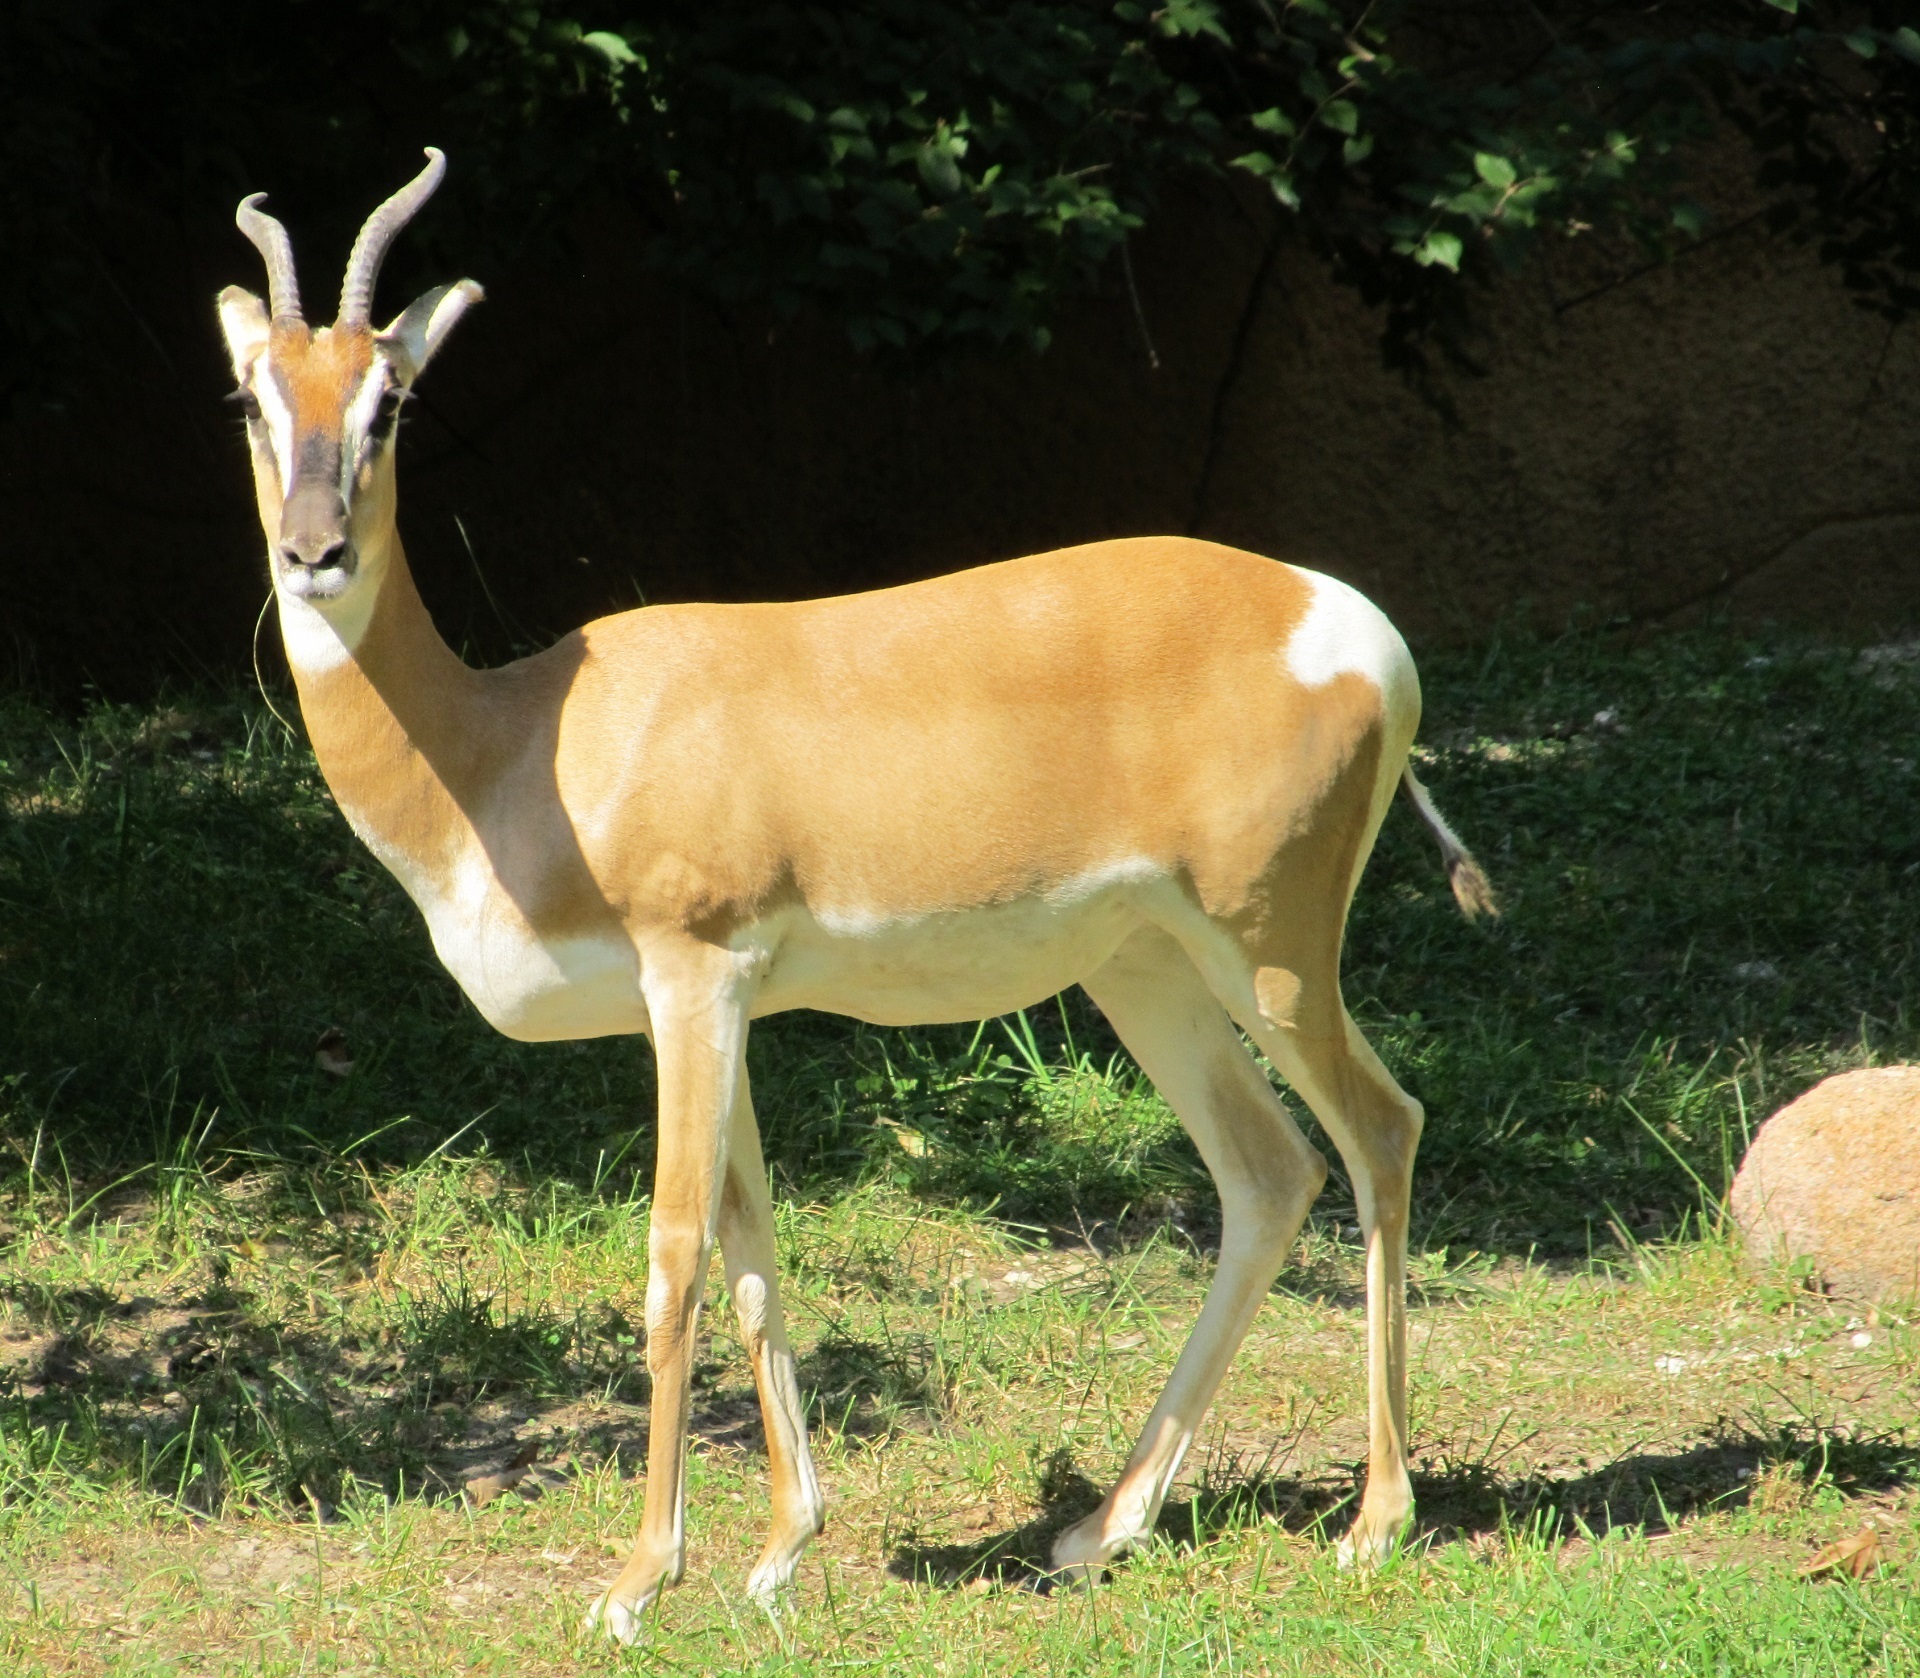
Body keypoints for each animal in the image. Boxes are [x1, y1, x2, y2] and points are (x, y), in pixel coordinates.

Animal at [218, 149, 1495, 1643]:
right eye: (256, 398)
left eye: (389, 399)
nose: (313, 553)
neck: (518, 742)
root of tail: (1356, 625)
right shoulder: (712, 1007)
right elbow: (757, 1247)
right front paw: (781, 1550)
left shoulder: (694, 975)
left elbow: (674, 1258)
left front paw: (637, 1582)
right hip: (1144, 967)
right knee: (1269, 1170)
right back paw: (1100, 1528)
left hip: (1273, 949)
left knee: (1381, 1131)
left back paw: (1375, 1521)